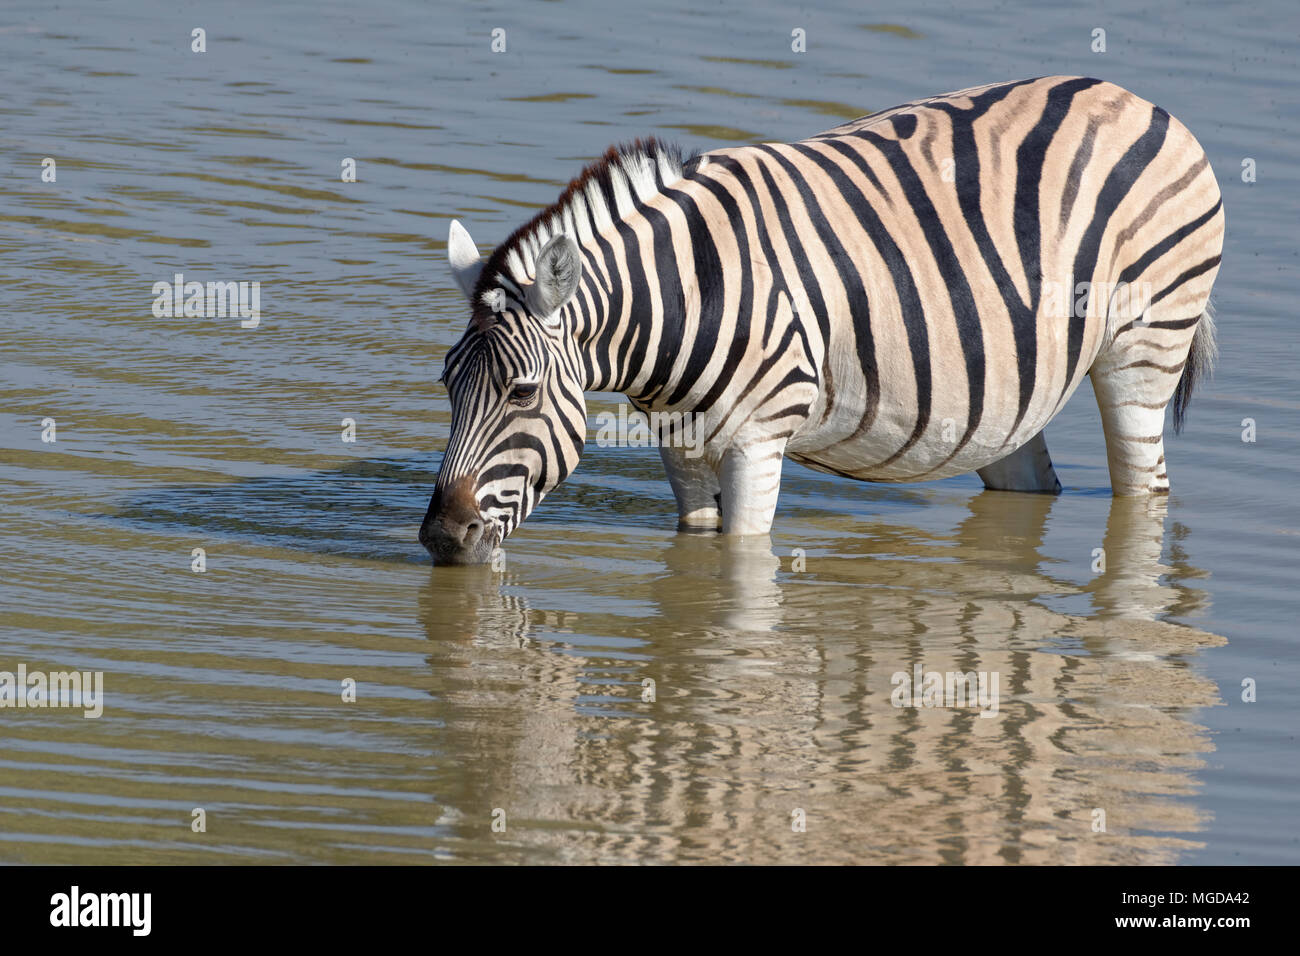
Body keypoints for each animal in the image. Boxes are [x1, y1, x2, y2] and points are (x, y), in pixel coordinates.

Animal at [420, 75, 1224, 566]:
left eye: (522, 392)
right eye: (446, 388)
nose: (440, 537)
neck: (689, 293)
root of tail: (1138, 100)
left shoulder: (759, 438)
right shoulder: (680, 448)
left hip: (1144, 348)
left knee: (1146, 489)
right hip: (1007, 387)